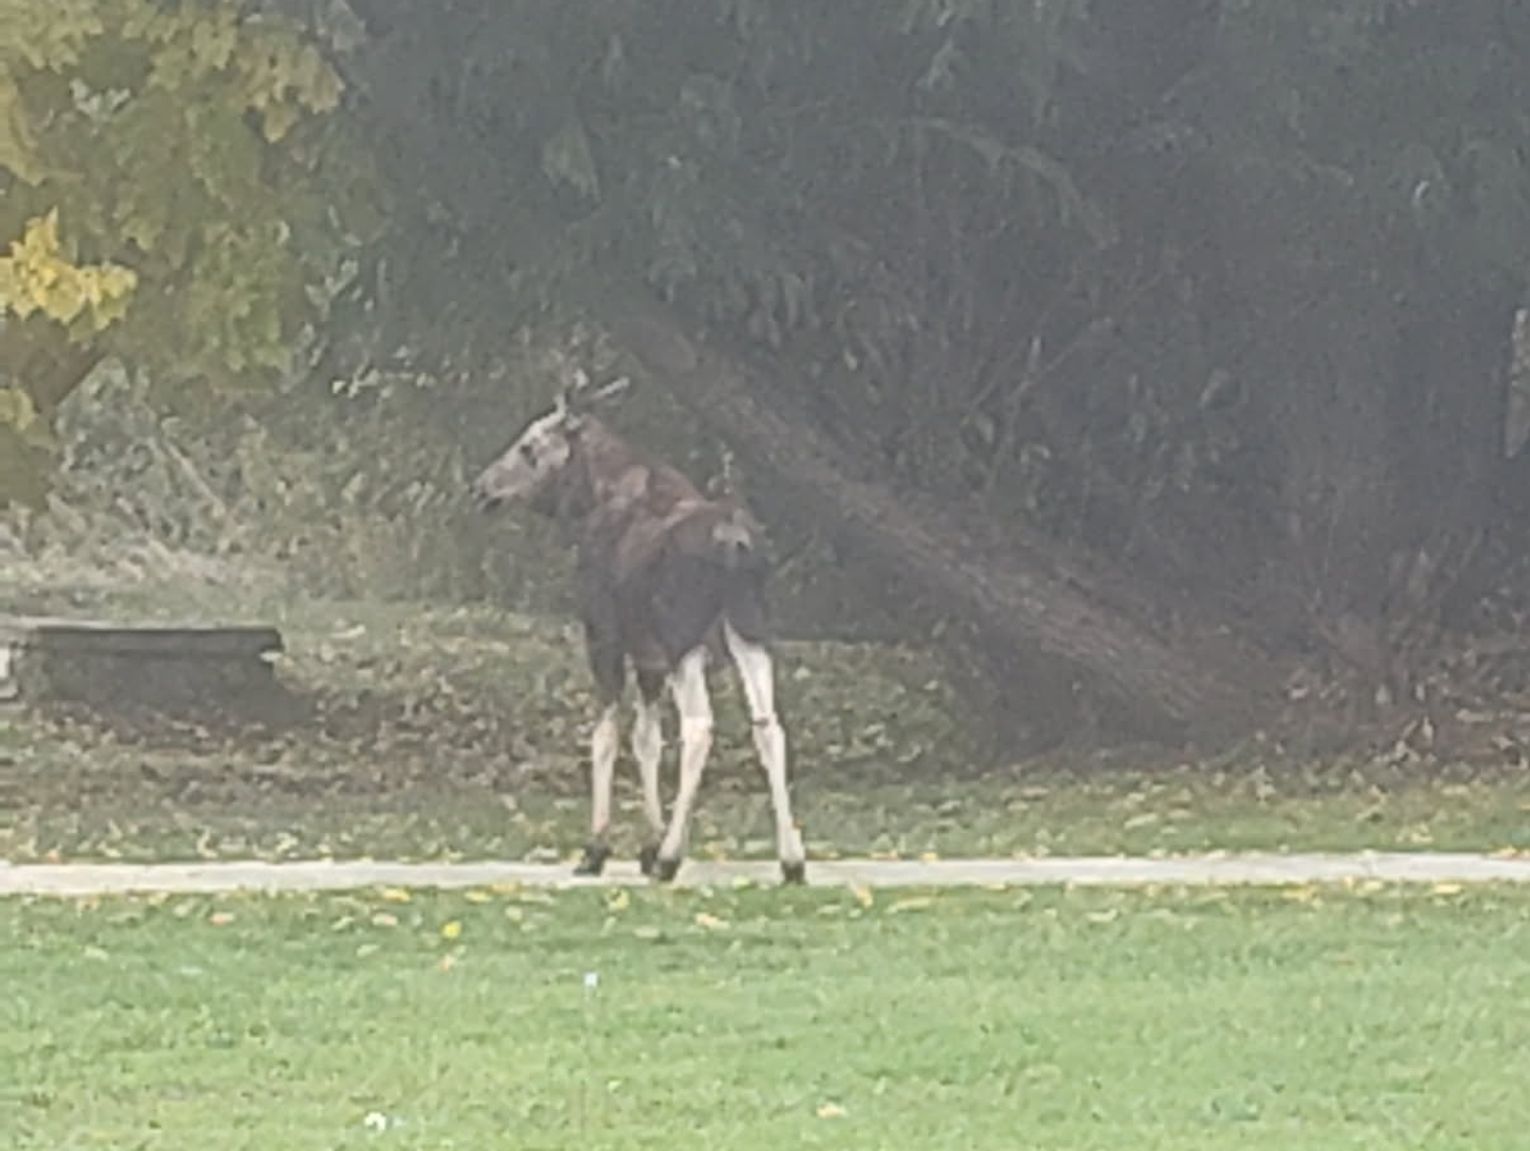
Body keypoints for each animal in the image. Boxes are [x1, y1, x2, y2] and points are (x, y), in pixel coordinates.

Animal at [469, 372, 807, 884]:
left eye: (528, 446)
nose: (483, 487)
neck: (589, 501)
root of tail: (736, 547)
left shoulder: (604, 636)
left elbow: (607, 736)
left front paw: (598, 849)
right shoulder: (650, 657)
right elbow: (647, 739)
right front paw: (647, 844)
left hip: (684, 637)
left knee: (700, 727)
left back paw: (671, 858)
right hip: (749, 630)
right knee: (769, 725)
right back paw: (791, 860)